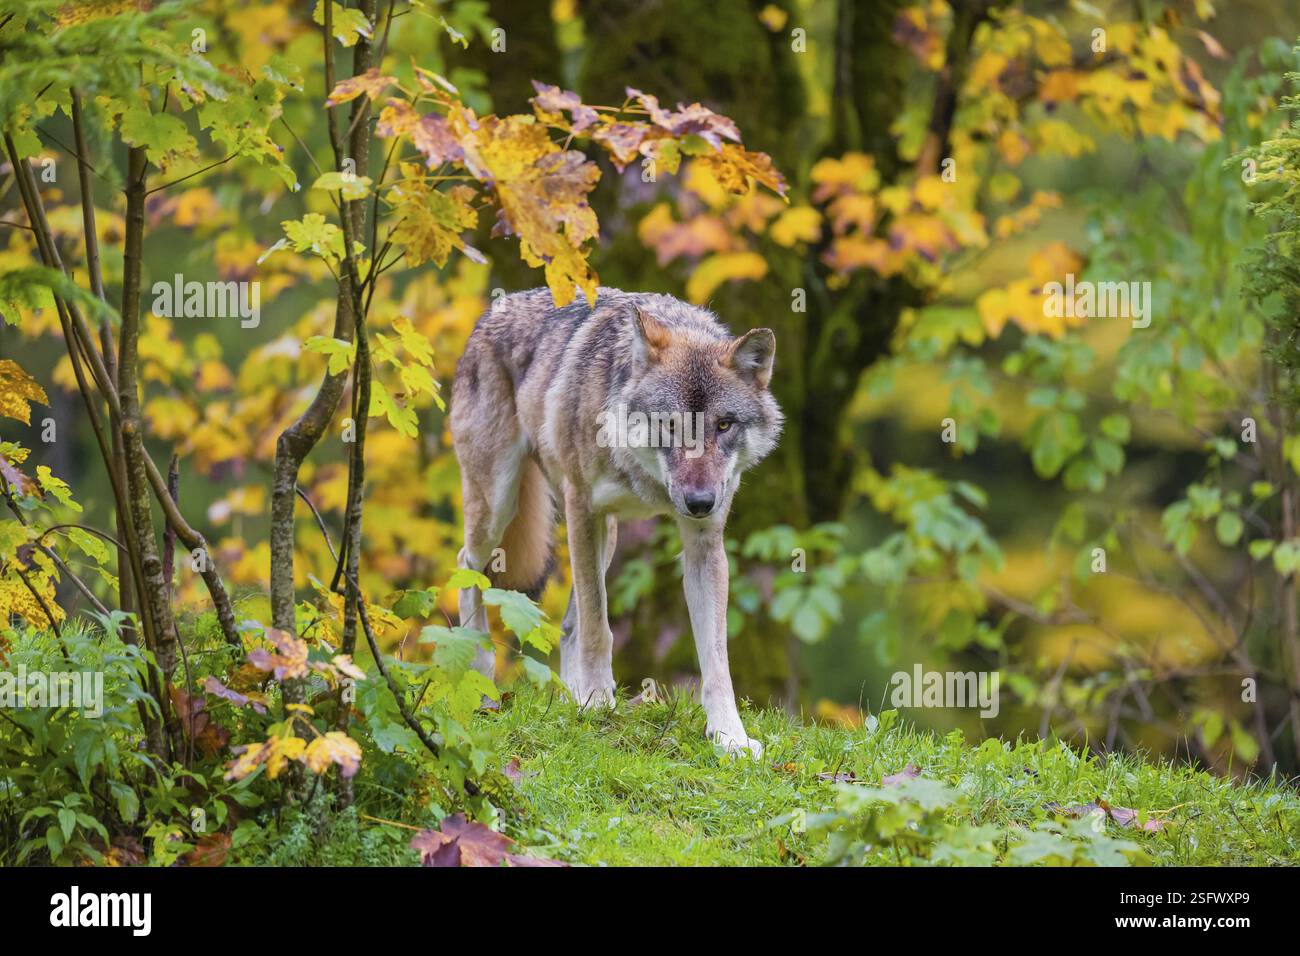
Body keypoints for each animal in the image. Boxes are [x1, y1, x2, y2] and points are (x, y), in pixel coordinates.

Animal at [450, 287, 782, 755]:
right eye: (670, 425)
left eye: (723, 424)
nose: (700, 502)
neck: (647, 478)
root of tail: (497, 306)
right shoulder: (583, 510)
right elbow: (598, 627)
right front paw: (596, 701)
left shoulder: (704, 543)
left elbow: (717, 659)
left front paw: (730, 737)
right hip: (499, 508)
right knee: (467, 565)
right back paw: (482, 673)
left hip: (605, 537)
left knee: (567, 624)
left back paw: (567, 695)